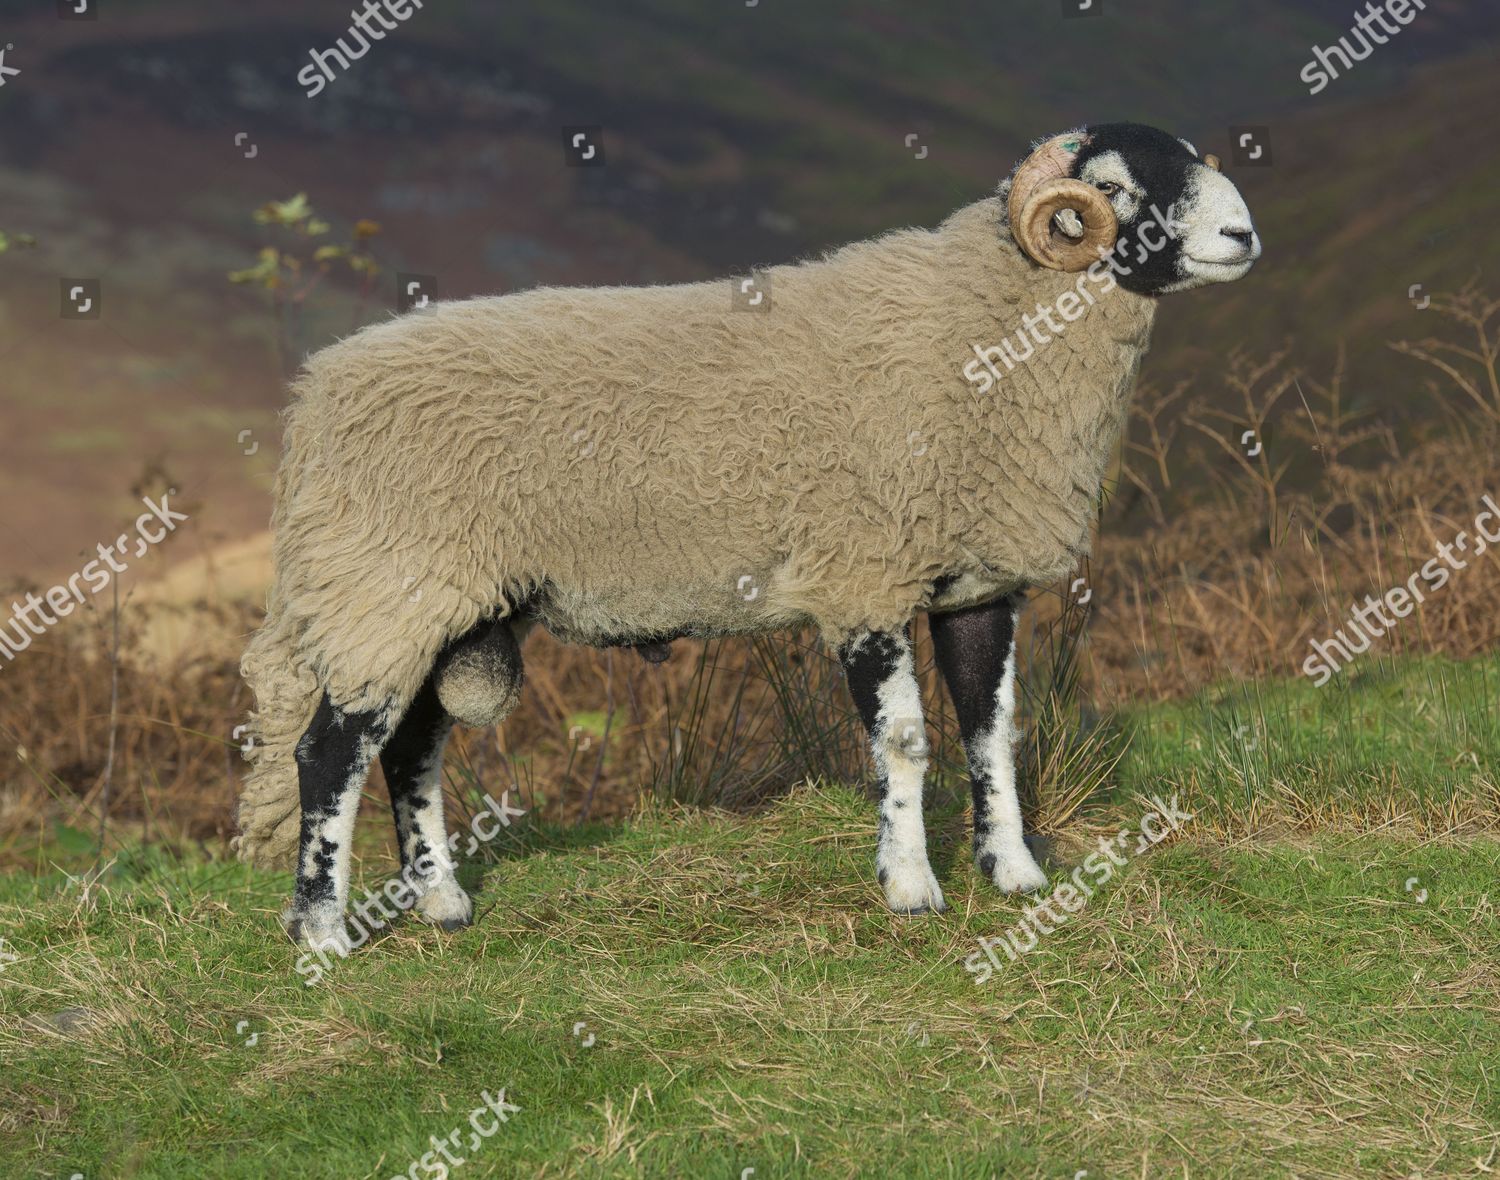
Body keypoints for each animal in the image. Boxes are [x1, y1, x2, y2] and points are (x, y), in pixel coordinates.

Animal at [235, 122, 1261, 951]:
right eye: (1115, 187)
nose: (1243, 236)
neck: (985, 330)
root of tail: (313, 396)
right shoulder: (864, 576)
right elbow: (905, 741)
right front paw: (910, 886)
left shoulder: (978, 583)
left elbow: (992, 730)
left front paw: (1014, 873)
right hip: (383, 583)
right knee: (328, 755)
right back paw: (322, 934)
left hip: (443, 606)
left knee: (409, 747)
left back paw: (442, 903)